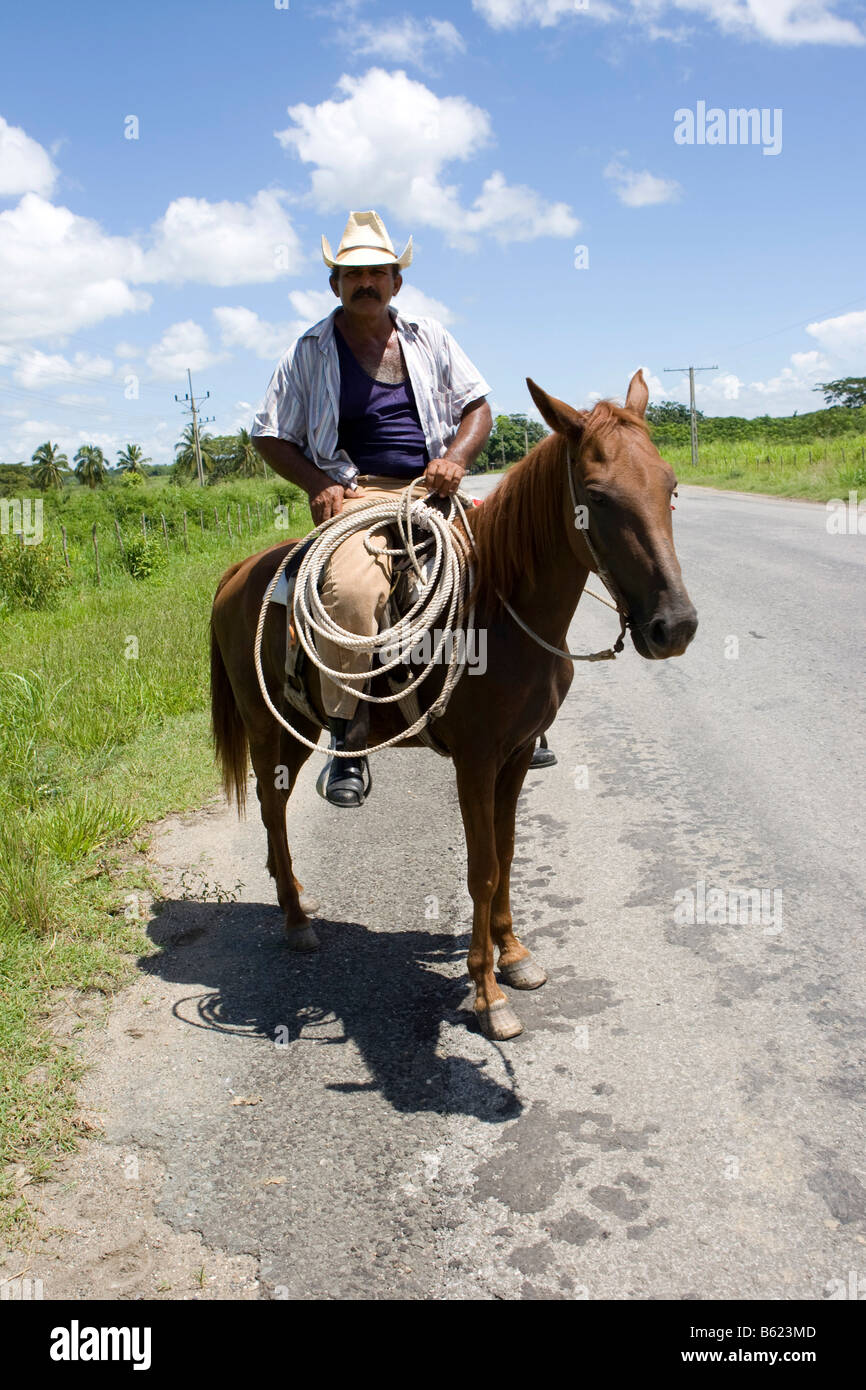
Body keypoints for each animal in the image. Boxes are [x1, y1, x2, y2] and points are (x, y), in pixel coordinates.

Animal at [209, 370, 697, 1041]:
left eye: (670, 488)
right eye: (596, 497)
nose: (674, 627)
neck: (501, 614)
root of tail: (237, 573)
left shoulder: (517, 754)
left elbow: (508, 853)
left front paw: (513, 955)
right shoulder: (475, 760)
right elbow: (482, 867)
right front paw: (488, 994)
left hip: (294, 727)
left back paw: (299, 895)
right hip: (265, 728)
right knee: (272, 807)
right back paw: (295, 918)